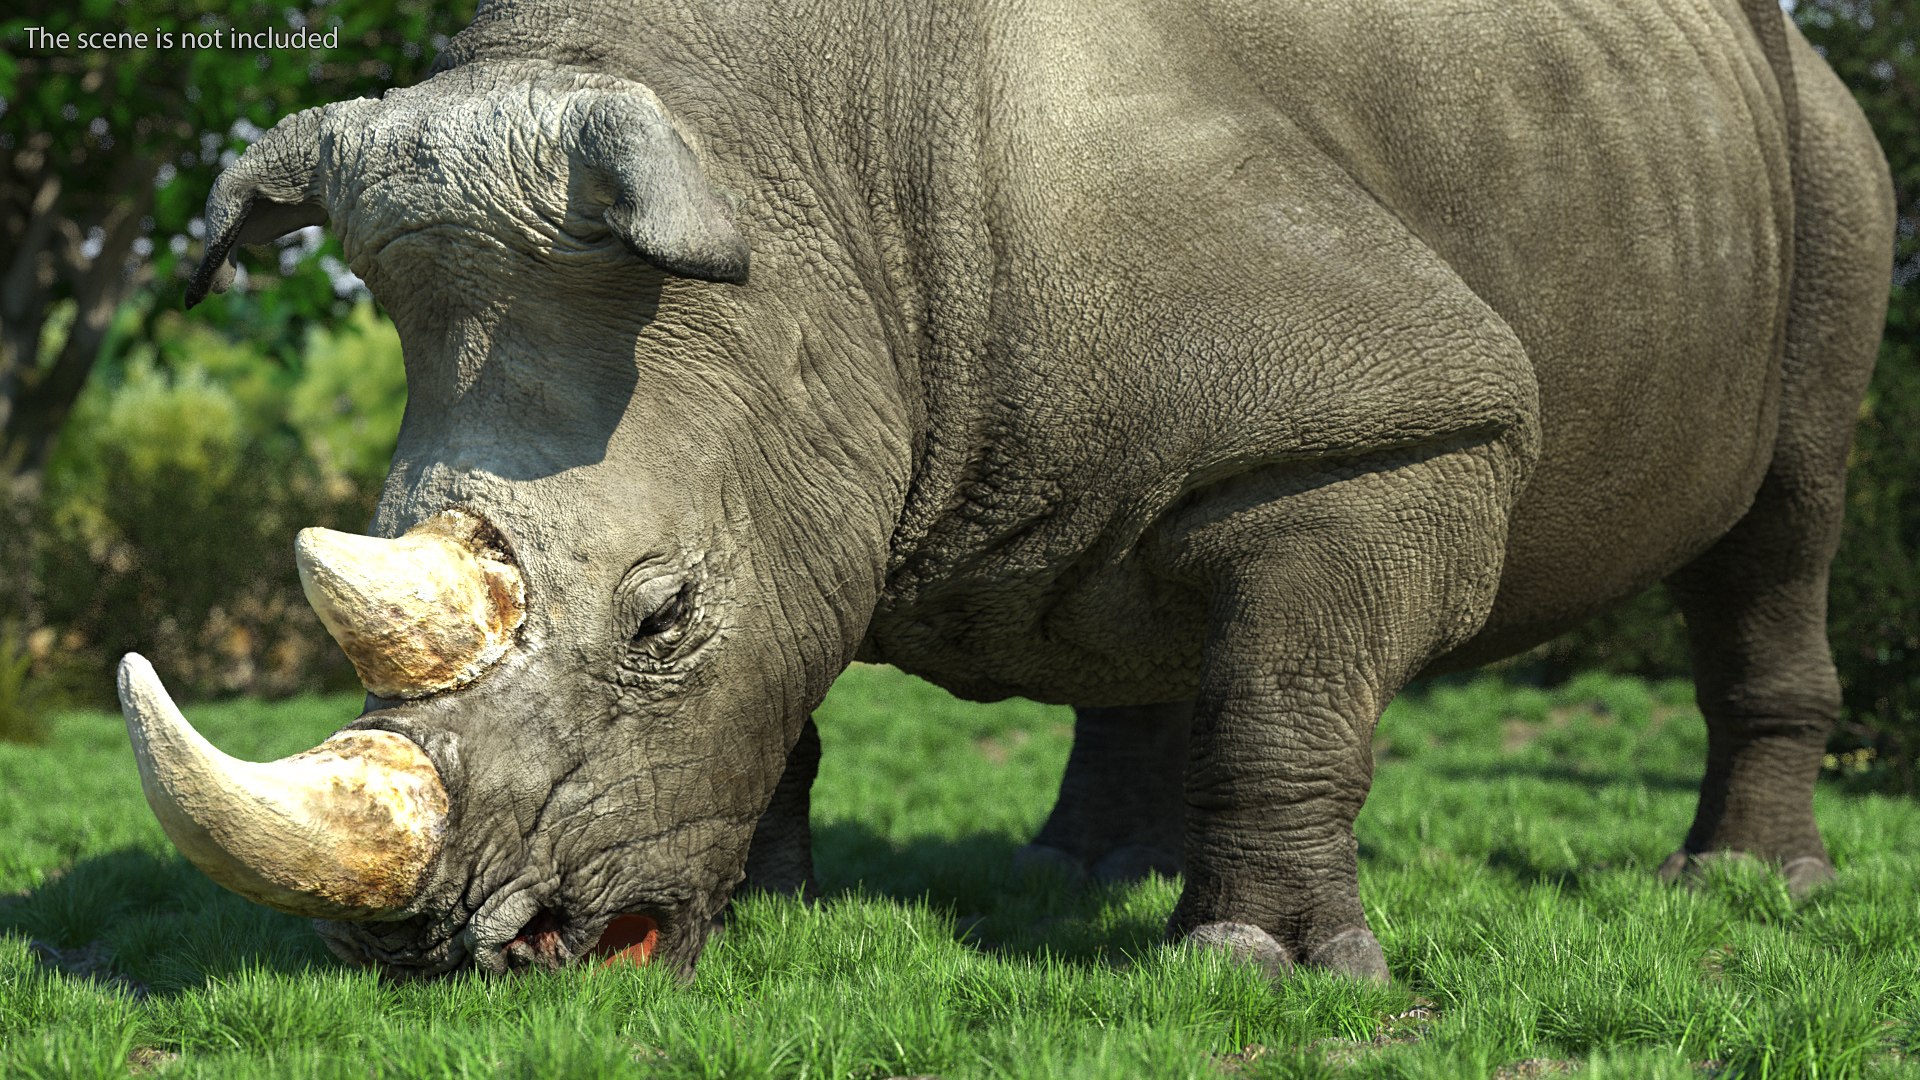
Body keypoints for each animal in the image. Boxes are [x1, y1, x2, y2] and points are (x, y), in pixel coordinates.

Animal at [118, 0, 1893, 981]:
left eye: (663, 616)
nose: (457, 951)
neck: (801, 179)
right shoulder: (797, 437)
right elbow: (797, 678)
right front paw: (777, 910)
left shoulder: (1392, 425)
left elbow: (1294, 697)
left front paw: (1262, 973)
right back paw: (1080, 878)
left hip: (1824, 152)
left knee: (1791, 510)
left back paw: (1751, 885)